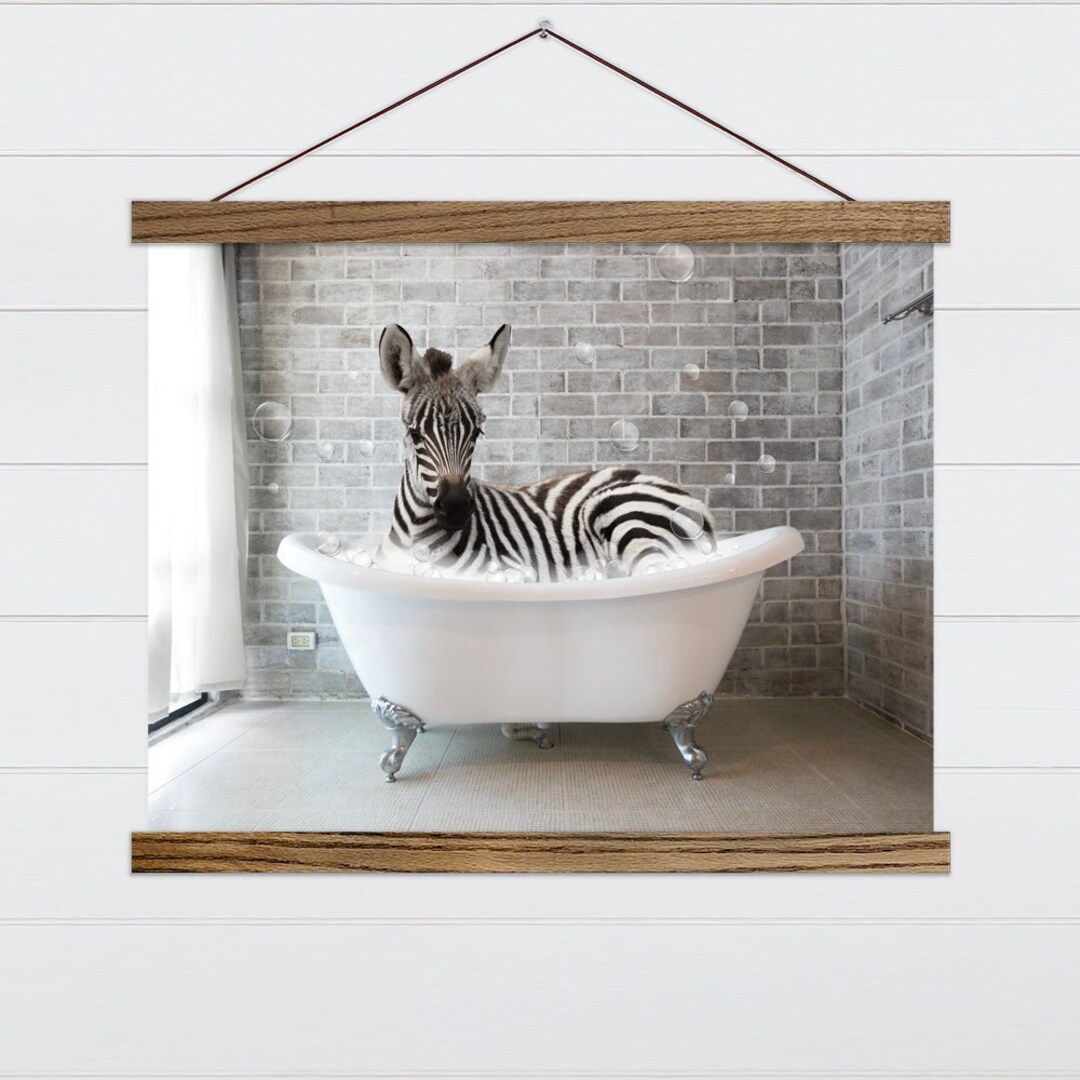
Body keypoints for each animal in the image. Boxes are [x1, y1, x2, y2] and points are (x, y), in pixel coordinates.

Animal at [376, 322, 716, 582]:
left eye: (476, 434)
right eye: (415, 434)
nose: (457, 508)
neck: (418, 535)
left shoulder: (513, 572)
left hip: (626, 516)